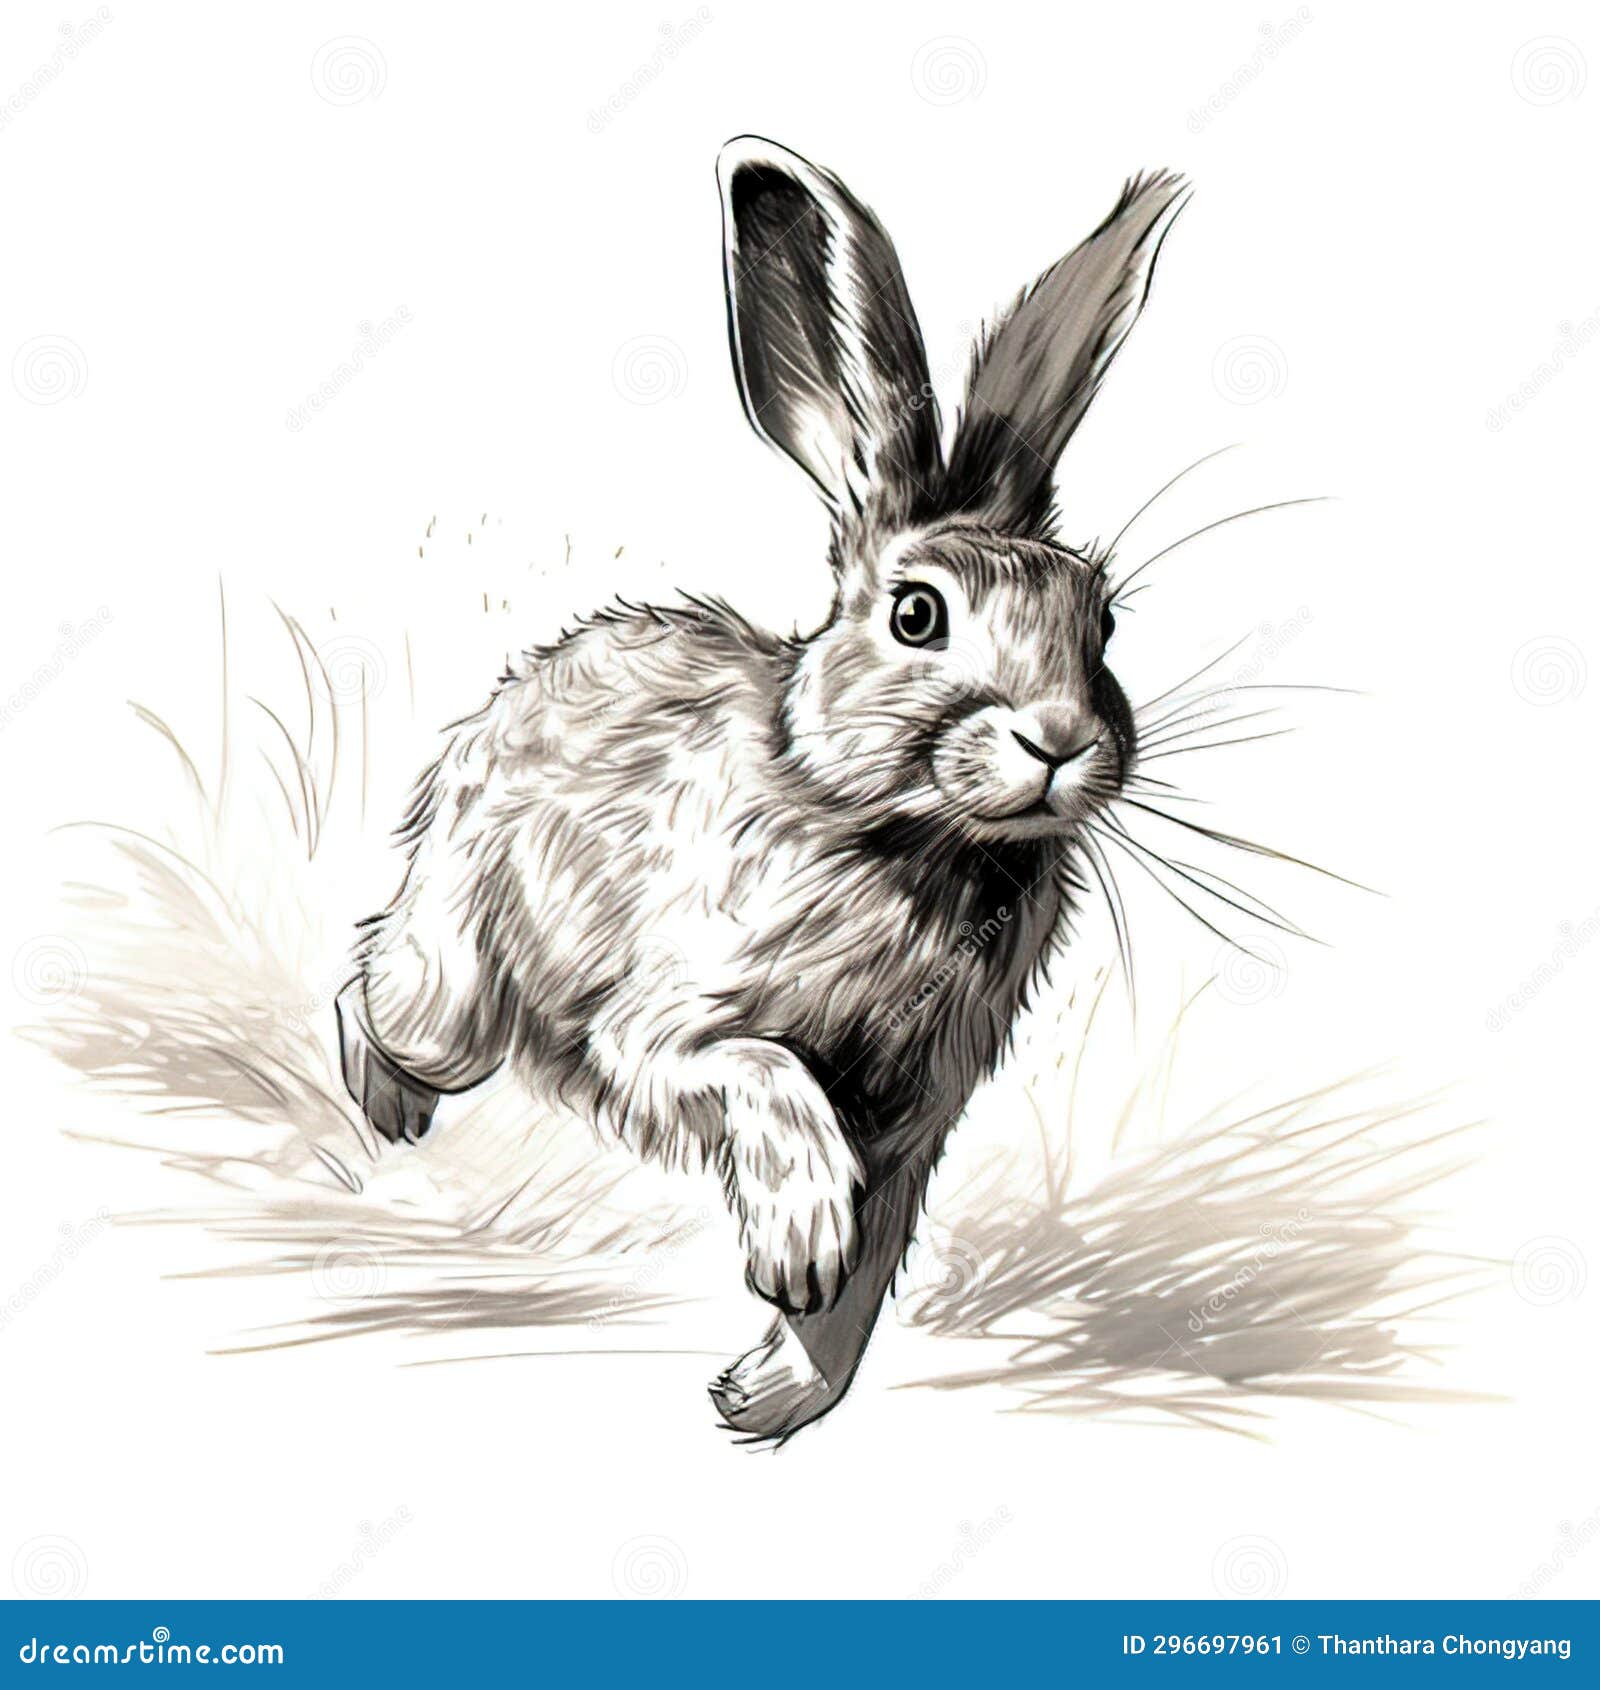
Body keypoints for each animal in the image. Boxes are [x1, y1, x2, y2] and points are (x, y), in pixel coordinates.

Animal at [336, 136, 1186, 1441]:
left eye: (1100, 625)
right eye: (917, 613)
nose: (1056, 740)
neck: (901, 837)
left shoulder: (914, 1122)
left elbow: (869, 1279)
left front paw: (769, 1395)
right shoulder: (662, 1025)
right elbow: (760, 1074)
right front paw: (797, 1244)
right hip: (454, 987)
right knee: (378, 997)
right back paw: (385, 1113)